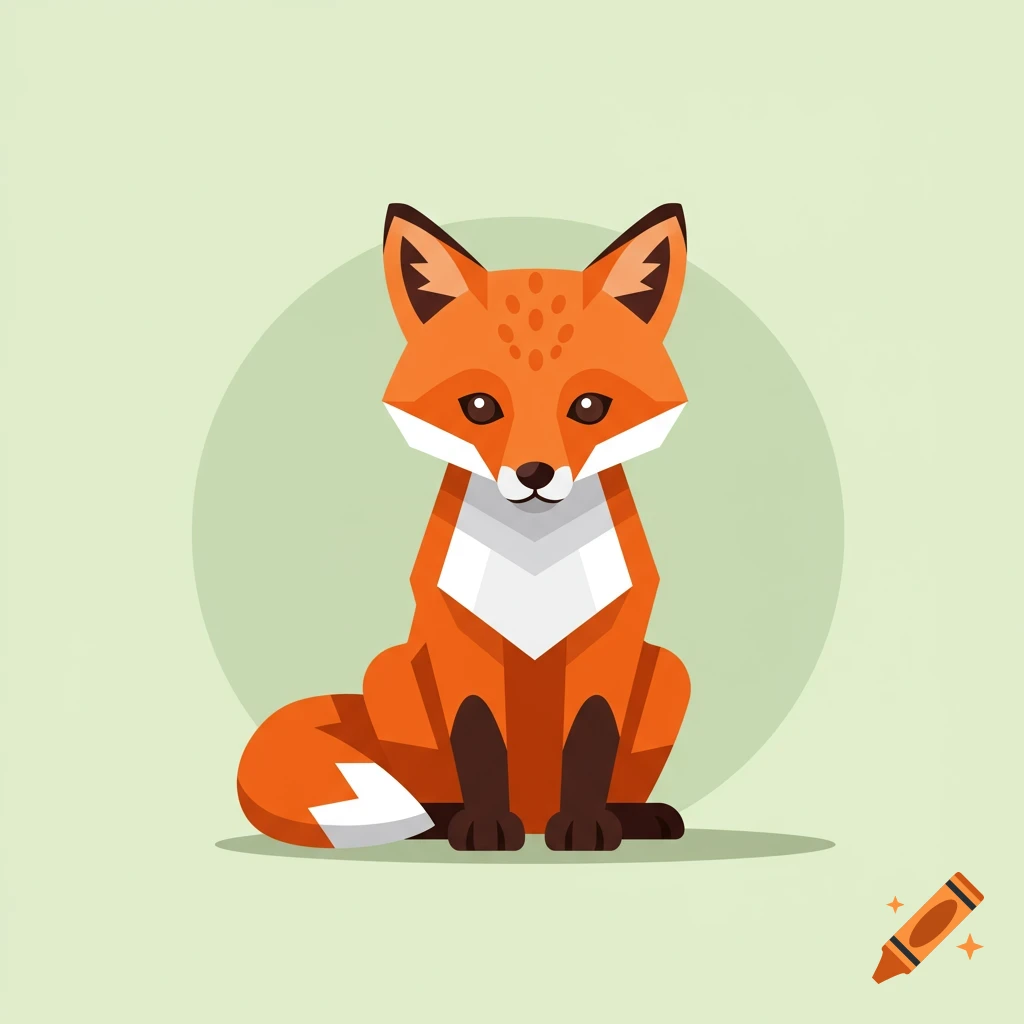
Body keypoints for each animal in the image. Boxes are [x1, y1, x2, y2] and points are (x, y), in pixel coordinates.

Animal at [236, 203, 692, 851]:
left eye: (589, 407)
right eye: (478, 406)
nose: (534, 474)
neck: (534, 562)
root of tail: (534, 808)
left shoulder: (613, 638)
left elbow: (592, 736)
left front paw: (584, 825)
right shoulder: (457, 635)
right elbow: (476, 735)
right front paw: (482, 825)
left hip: (671, 672)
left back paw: (634, 816)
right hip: (389, 672)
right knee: (426, 788)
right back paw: (441, 817)